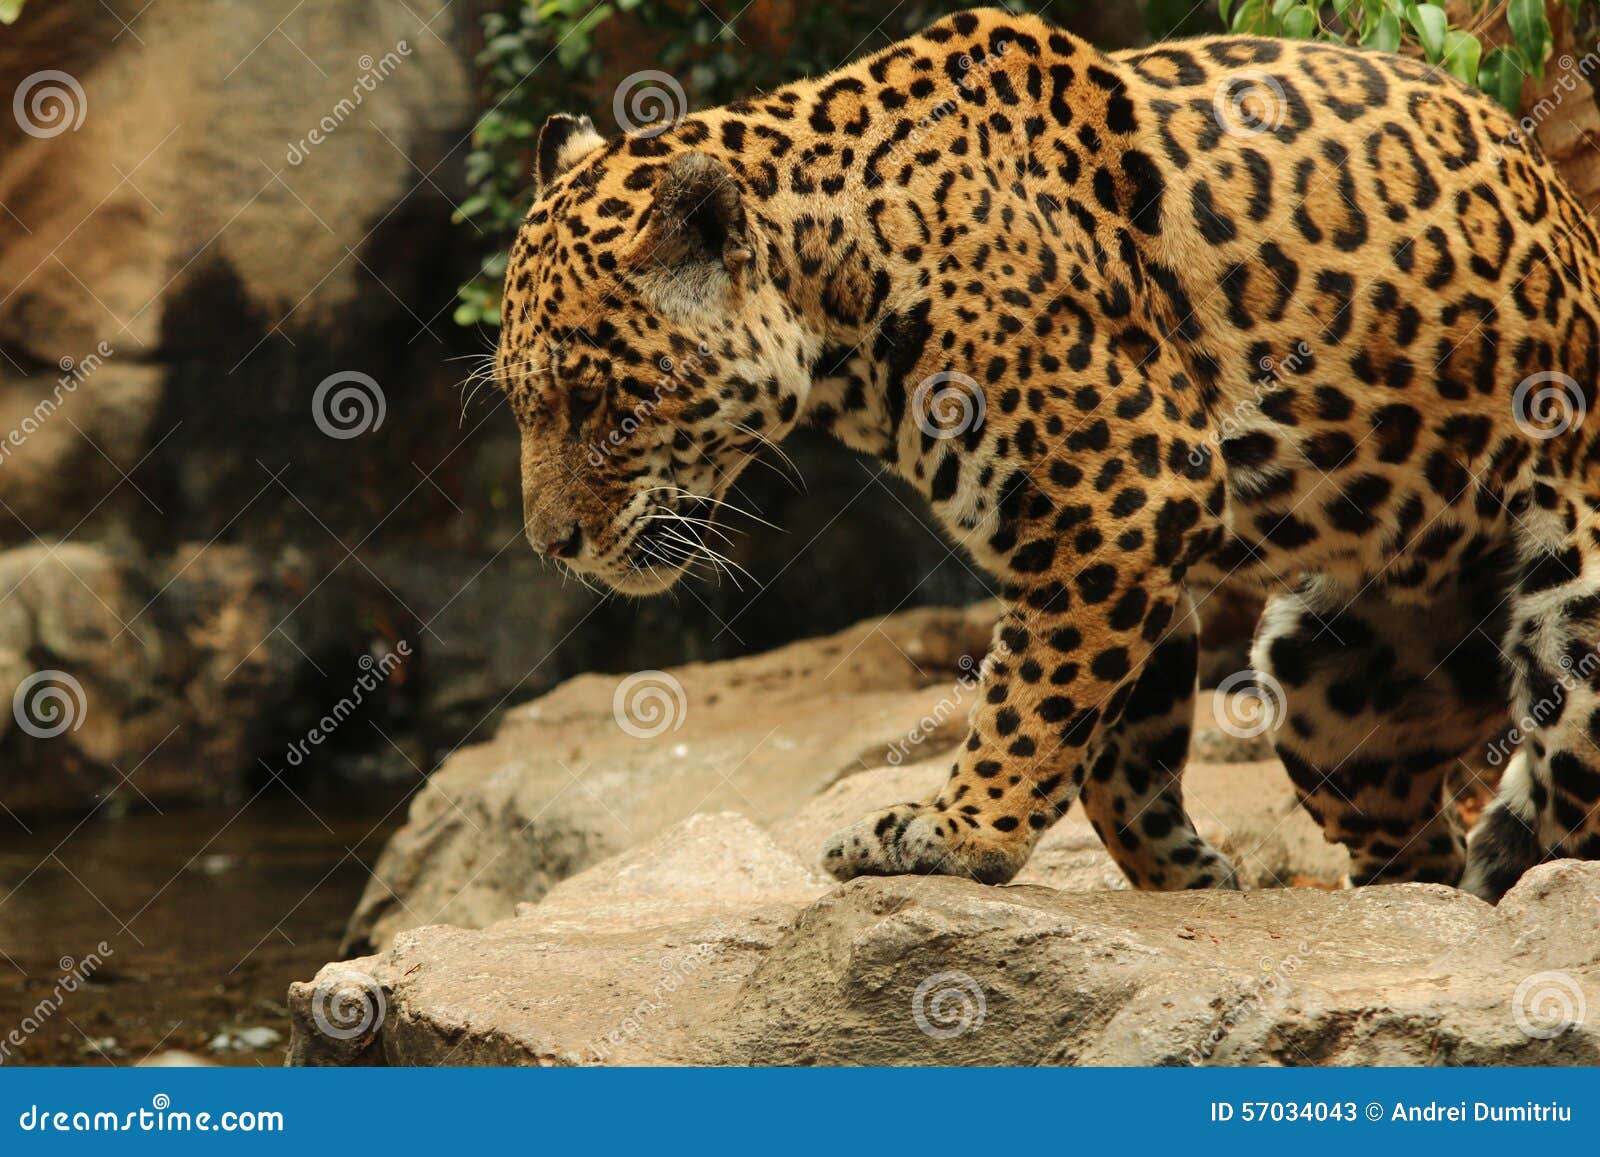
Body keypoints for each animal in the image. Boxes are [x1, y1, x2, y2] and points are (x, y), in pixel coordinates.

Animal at [495, 6, 1600, 904]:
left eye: (603, 405)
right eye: (520, 398)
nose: (550, 546)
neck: (845, 285)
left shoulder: (1127, 490)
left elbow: (1033, 695)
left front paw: (952, 833)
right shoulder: (1107, 536)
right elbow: (1113, 744)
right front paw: (1188, 879)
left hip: (1574, 616)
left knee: (1562, 805)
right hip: (1329, 672)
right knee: (1410, 836)